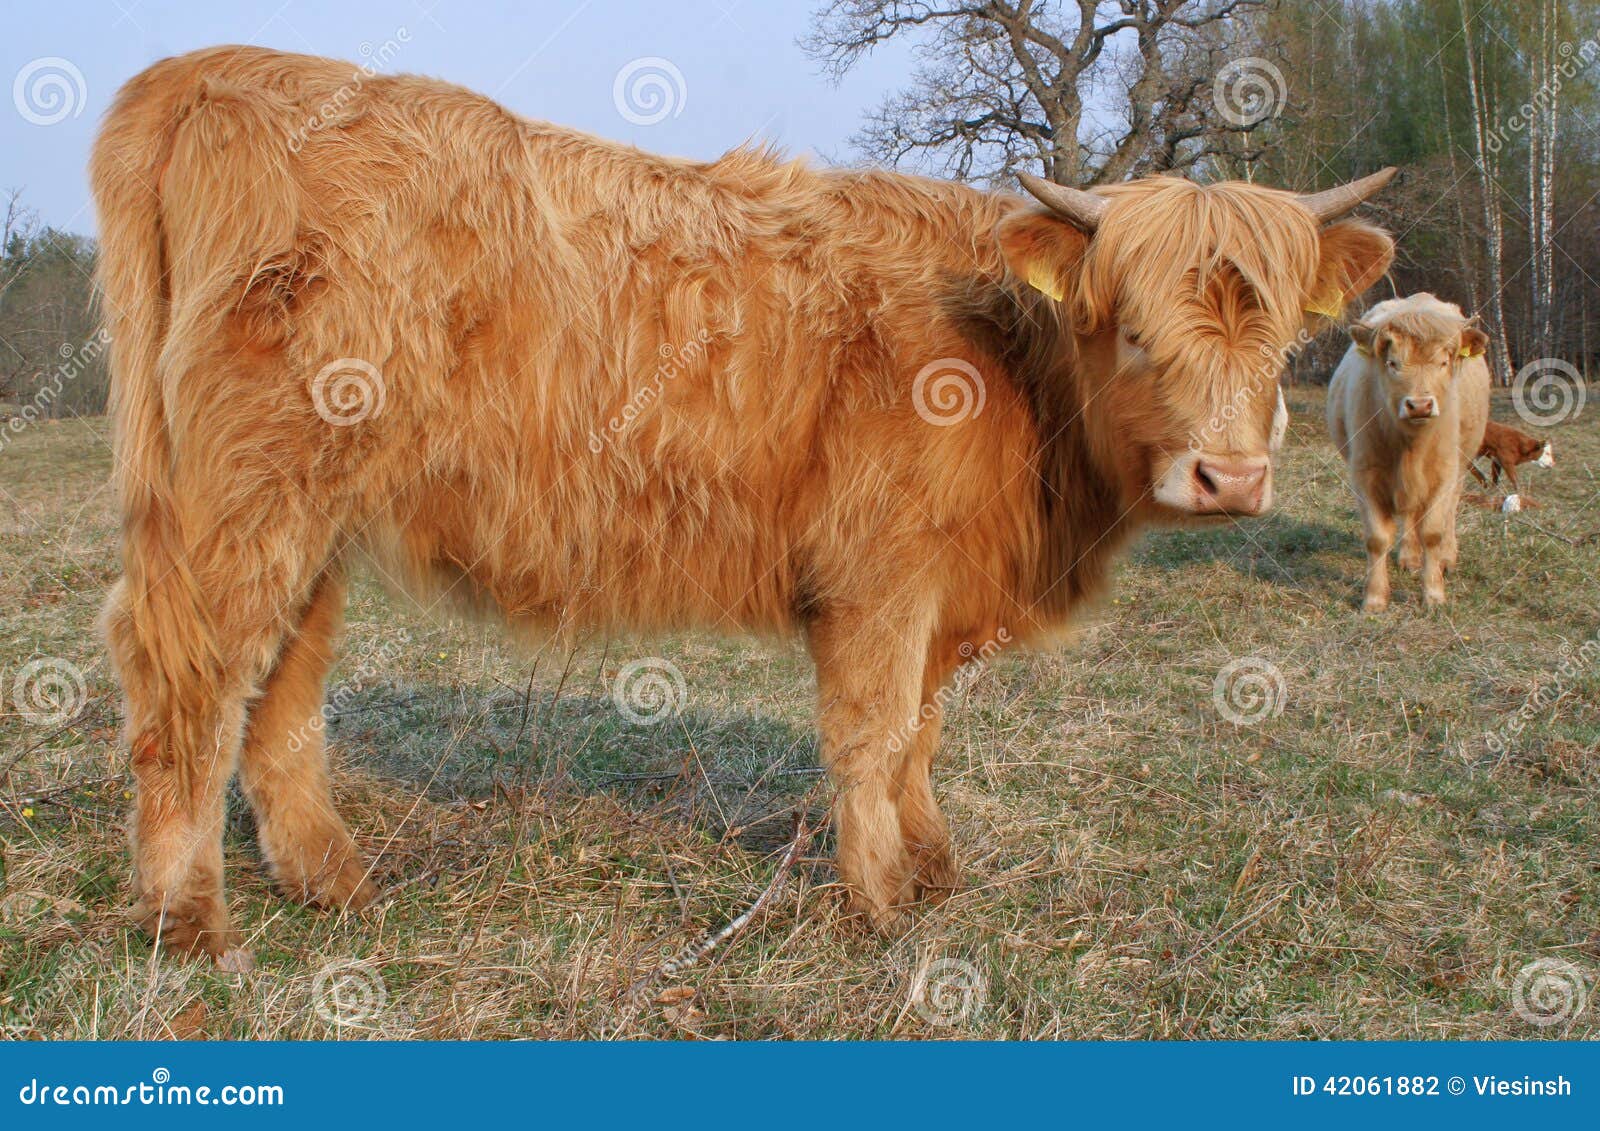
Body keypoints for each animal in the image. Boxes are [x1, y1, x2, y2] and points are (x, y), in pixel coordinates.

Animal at [91, 47, 1395, 962]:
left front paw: (932, 864)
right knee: (193, 671)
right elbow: (874, 733)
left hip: (309, 514)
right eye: (1130, 327)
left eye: (1281, 336)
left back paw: (332, 882)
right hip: (250, 495)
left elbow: (923, 734)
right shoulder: (879, 577)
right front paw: (879, 902)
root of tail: (214, 69)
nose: (1230, 478)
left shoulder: (939, 592)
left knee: (282, 684)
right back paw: (189, 920)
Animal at [1327, 294, 1490, 612]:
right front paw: (1375, 598)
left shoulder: (1444, 473)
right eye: (1392, 363)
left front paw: (1434, 595)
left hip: (1462, 463)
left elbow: (1433, 532)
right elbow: (1377, 538)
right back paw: (1409, 557)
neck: (1410, 446)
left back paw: (1447, 559)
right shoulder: (1365, 474)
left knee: (1449, 512)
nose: (1420, 405)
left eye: (1443, 362)